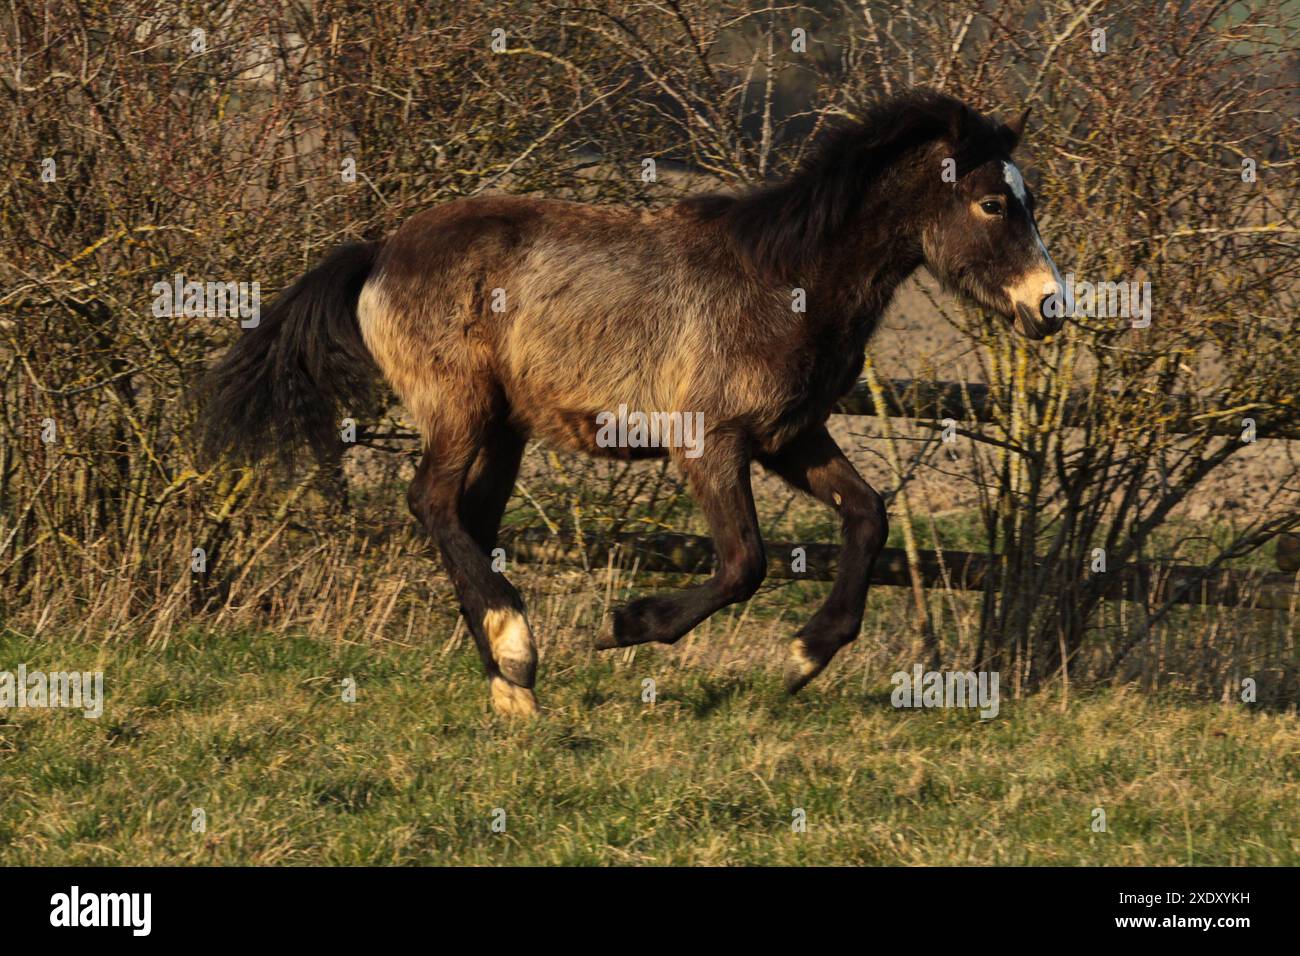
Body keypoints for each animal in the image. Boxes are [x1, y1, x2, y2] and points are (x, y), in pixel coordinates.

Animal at [201, 89, 1068, 717]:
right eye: (994, 204)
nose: (1051, 306)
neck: (787, 281)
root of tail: (379, 252)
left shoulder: (791, 436)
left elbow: (869, 516)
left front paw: (805, 656)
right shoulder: (710, 442)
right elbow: (745, 563)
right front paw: (626, 626)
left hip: (506, 431)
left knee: (470, 522)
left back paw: (512, 691)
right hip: (462, 411)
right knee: (430, 504)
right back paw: (517, 649)